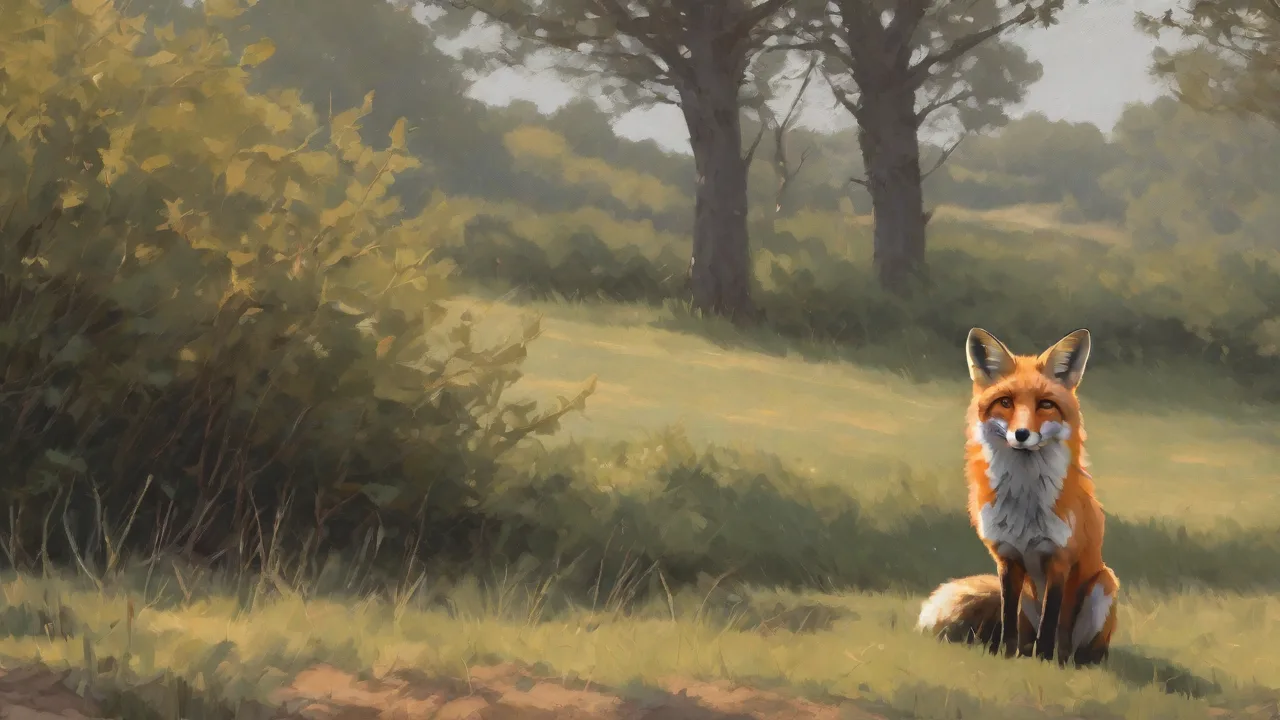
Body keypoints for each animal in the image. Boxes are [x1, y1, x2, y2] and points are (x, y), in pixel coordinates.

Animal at [915, 327, 1119, 667]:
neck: (1025, 503)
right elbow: (1008, 619)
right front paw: (1005, 656)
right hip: (1028, 597)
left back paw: (1069, 662)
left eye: (1045, 404)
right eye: (1005, 402)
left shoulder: (1059, 560)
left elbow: (1051, 623)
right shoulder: (1007, 558)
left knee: (1077, 648)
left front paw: (1045, 662)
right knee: (1022, 632)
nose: (1021, 435)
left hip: (1103, 585)